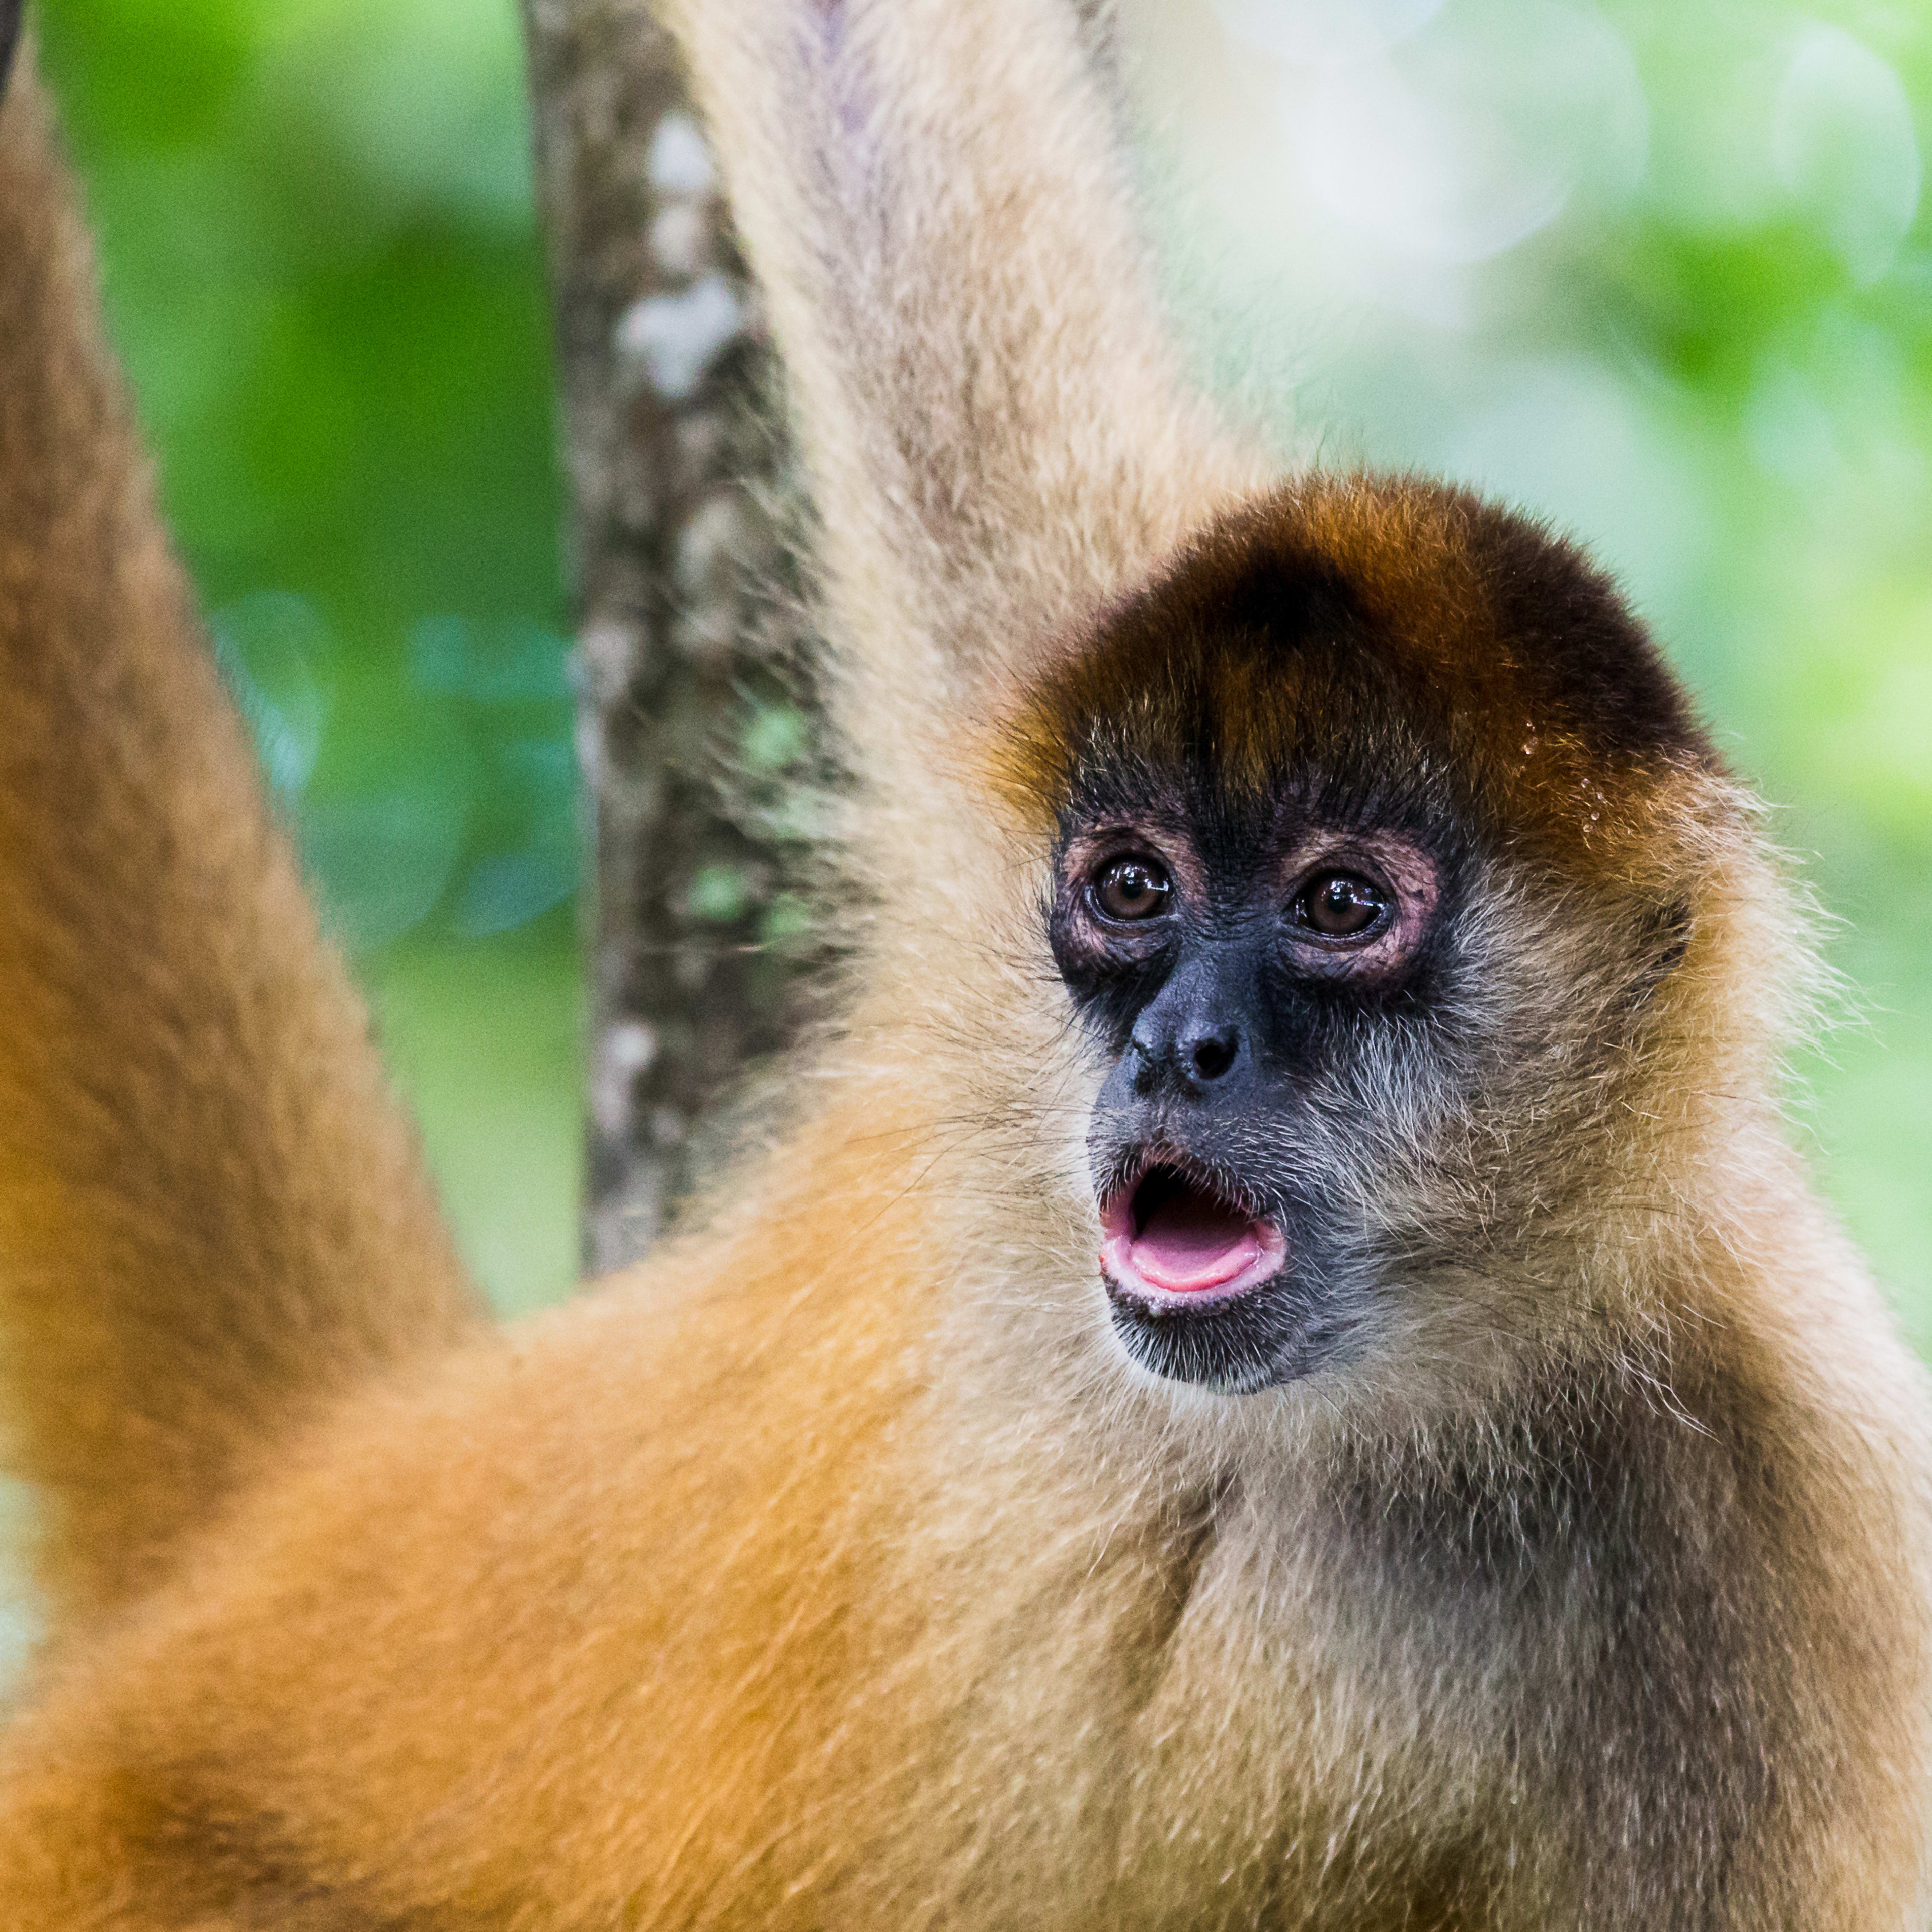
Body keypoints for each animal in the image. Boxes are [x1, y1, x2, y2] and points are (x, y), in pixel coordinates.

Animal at [0, 0, 1928, 1925]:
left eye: (1339, 909)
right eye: (1130, 887)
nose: (1176, 1042)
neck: (1293, 1433)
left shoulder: (1798, 1525)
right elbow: (870, 94)